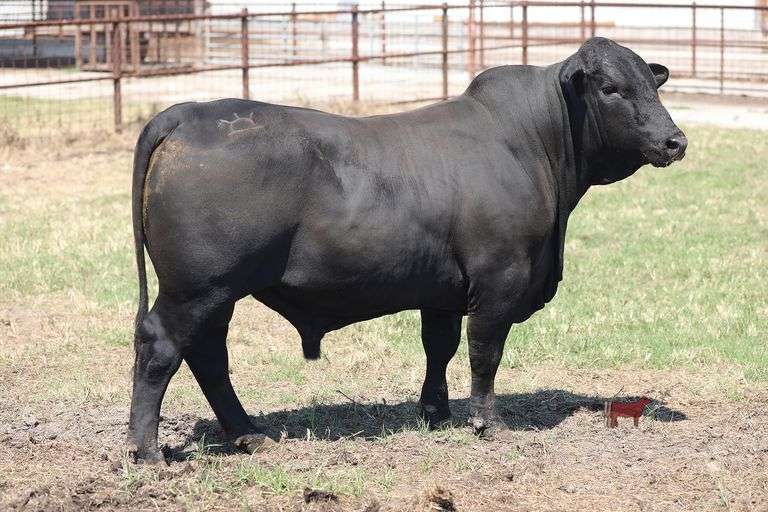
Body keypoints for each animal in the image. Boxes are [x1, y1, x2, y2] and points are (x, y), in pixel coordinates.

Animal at [127, 37, 687, 463]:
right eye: (611, 89)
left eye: (653, 83)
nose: (675, 141)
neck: (533, 142)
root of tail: (188, 113)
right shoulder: (499, 279)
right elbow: (485, 353)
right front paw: (487, 422)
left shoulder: (443, 290)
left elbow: (439, 347)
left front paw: (434, 413)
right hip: (198, 287)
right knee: (163, 348)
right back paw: (148, 451)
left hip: (216, 293)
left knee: (208, 354)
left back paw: (247, 434)